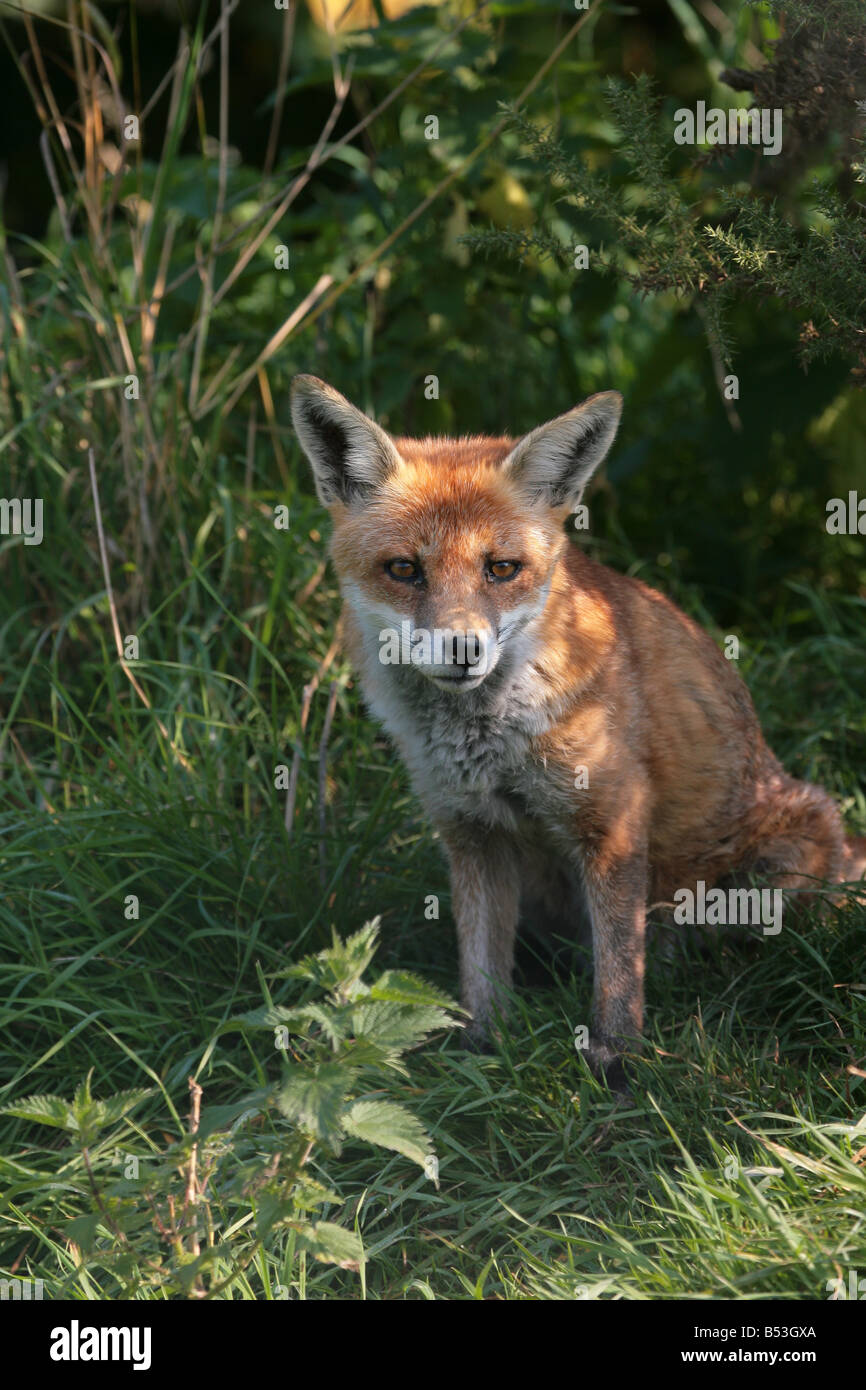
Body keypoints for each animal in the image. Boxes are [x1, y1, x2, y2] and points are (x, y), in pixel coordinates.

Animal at [290, 373, 866, 1088]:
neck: (489, 741)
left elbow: (619, 969)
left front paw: (617, 1064)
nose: (463, 649)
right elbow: (480, 967)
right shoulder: (471, 834)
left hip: (769, 878)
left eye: (500, 569)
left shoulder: (613, 824)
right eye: (404, 570)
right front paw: (481, 1053)